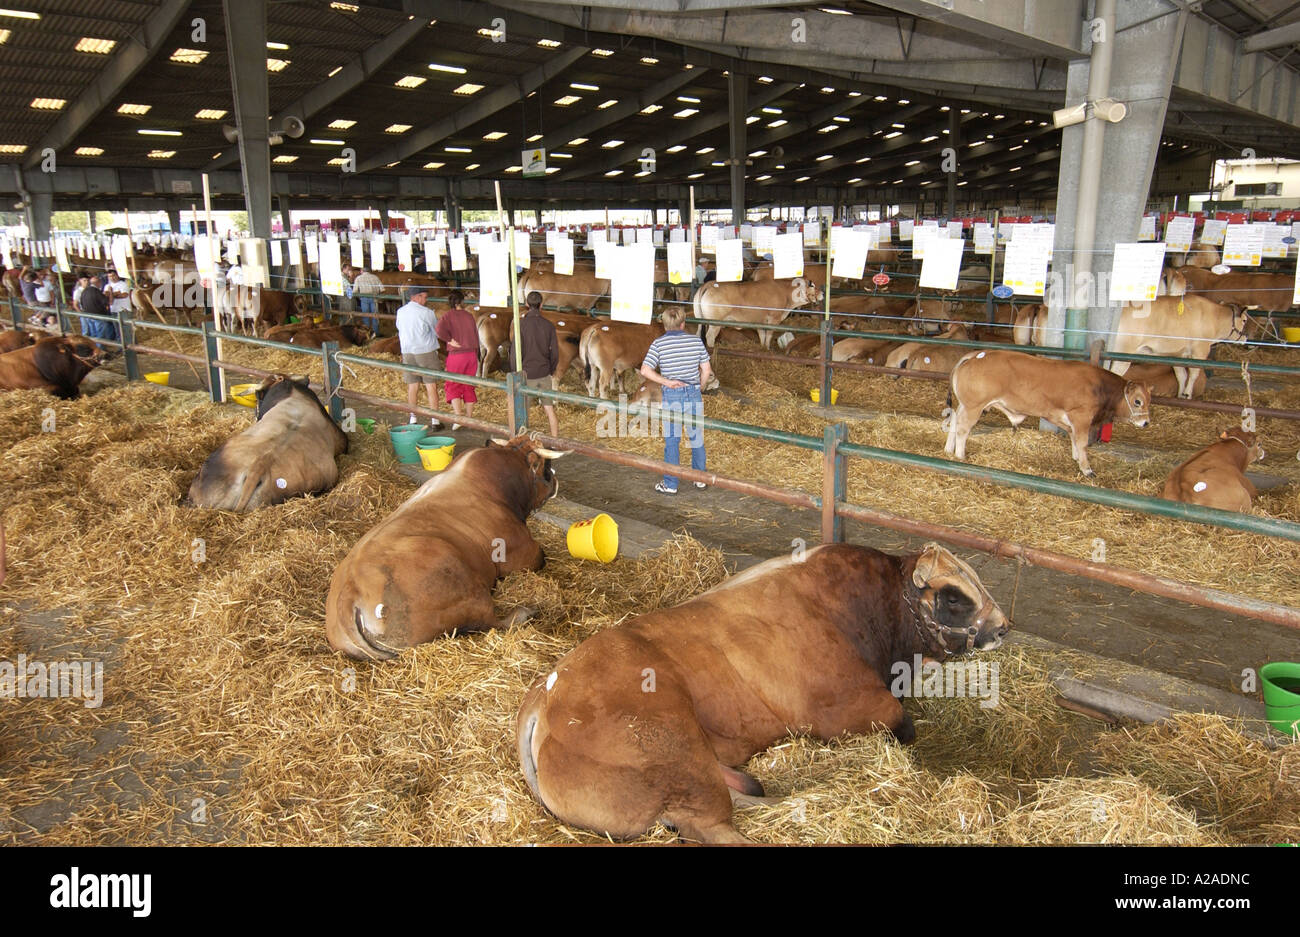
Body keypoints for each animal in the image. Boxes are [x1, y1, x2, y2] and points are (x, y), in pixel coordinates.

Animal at [324, 435, 568, 659]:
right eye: (543, 465)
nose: (556, 480)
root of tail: (350, 590)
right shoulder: (524, 553)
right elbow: (541, 557)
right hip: (469, 595)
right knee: (493, 622)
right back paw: (527, 611)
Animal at [515, 541, 1009, 843]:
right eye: (954, 597)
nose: (1004, 627)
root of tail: (544, 693)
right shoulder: (850, 707)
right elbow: (904, 725)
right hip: (676, 759)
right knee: (711, 827)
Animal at [694, 278, 822, 349]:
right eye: (812, 285)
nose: (823, 293)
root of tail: (709, 284)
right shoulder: (774, 319)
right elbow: (769, 335)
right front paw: (767, 349)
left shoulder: (760, 321)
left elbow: (762, 335)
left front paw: (762, 348)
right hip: (715, 323)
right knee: (710, 336)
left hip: (701, 321)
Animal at [945, 349, 1153, 477]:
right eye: (1137, 401)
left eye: (1149, 400)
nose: (1146, 423)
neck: (1100, 386)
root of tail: (976, 355)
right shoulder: (1081, 416)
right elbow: (1082, 441)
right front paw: (1086, 469)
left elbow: (1072, 436)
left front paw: (1076, 457)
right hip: (974, 407)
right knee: (963, 428)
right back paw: (960, 455)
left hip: (966, 404)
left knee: (955, 420)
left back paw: (949, 450)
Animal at [1108, 294, 1248, 399]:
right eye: (1245, 320)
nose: (1245, 339)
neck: (1215, 317)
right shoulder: (1200, 351)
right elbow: (1193, 374)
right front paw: (1187, 394)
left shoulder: (1177, 354)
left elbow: (1181, 375)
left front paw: (1181, 395)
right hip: (1123, 354)